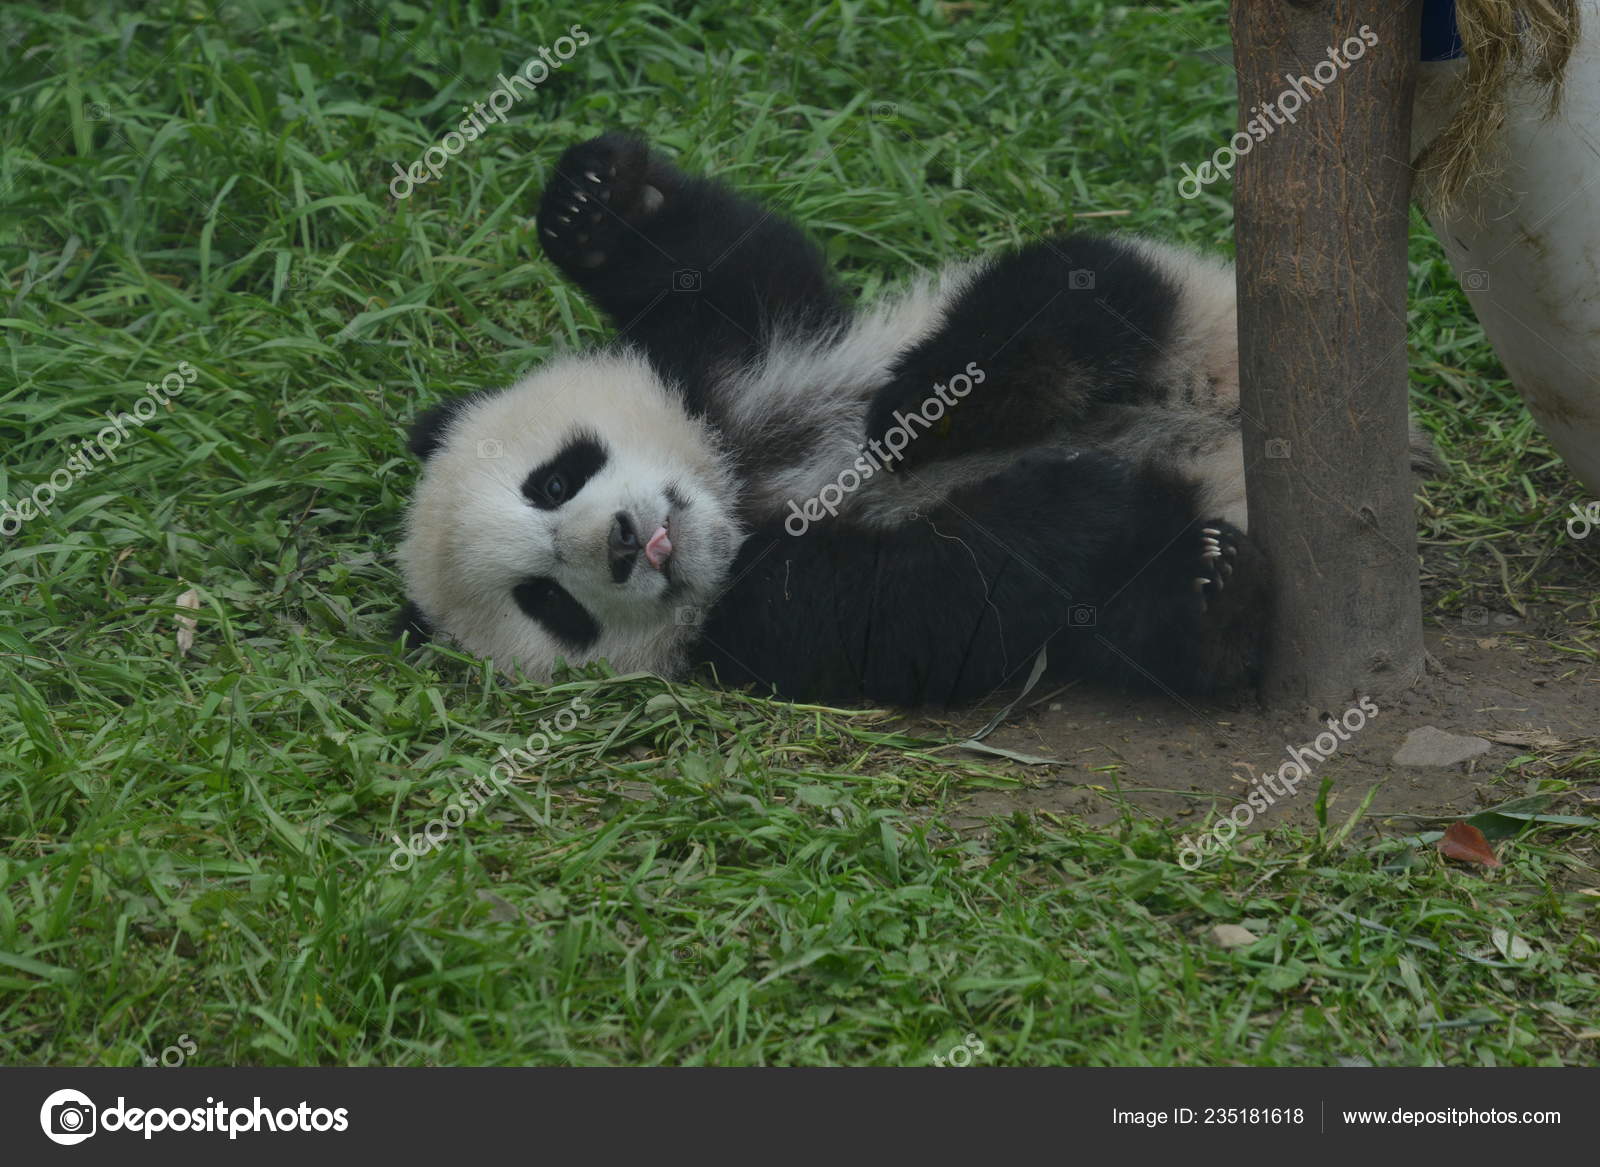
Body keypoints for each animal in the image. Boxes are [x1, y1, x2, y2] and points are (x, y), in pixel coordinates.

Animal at [397, 132, 1426, 706]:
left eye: (553, 478)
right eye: (549, 602)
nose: (621, 541)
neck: (740, 484)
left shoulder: (733, 358)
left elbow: (734, 263)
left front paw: (593, 202)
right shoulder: (757, 625)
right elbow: (931, 601)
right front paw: (1075, 494)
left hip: (1196, 319)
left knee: (1070, 292)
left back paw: (960, 404)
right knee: (1143, 623)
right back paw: (1212, 593)